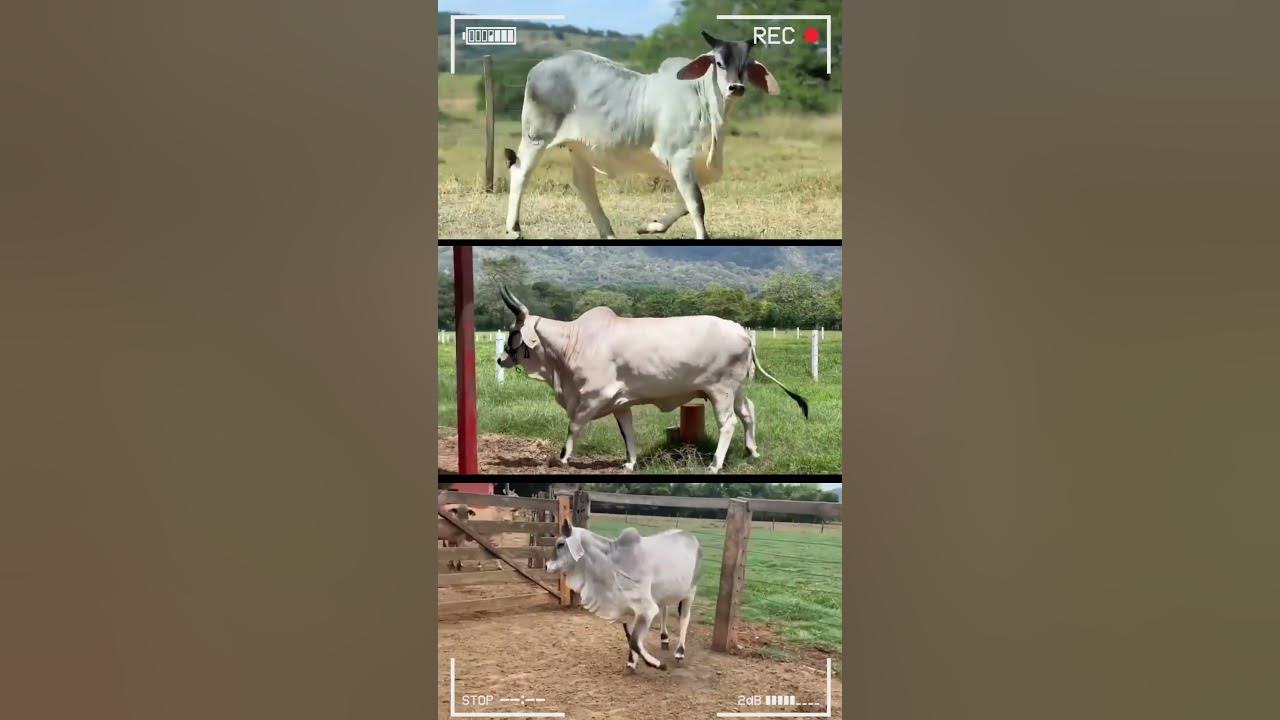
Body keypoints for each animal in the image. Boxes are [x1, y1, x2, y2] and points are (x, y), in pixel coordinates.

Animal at [495, 286, 808, 474]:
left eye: (513, 331)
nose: (500, 359)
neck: (572, 343)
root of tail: (741, 330)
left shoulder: (593, 397)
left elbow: (573, 427)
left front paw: (562, 459)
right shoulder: (620, 403)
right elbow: (628, 434)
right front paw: (630, 463)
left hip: (720, 390)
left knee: (728, 422)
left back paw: (716, 464)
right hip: (736, 389)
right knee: (747, 412)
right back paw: (751, 451)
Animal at [504, 31, 780, 240]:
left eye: (745, 67)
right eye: (719, 63)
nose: (736, 88)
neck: (706, 103)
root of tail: (540, 66)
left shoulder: (700, 167)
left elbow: (685, 202)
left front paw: (652, 225)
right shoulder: (679, 158)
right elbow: (695, 203)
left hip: (580, 148)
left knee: (584, 185)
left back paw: (608, 232)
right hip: (536, 136)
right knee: (520, 172)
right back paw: (514, 228)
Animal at [545, 517, 702, 672]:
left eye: (560, 544)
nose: (546, 566)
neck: (612, 564)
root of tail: (689, 535)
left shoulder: (646, 609)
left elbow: (634, 640)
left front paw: (656, 664)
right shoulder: (628, 610)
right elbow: (630, 637)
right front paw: (632, 662)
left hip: (691, 591)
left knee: (684, 619)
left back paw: (680, 652)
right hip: (665, 593)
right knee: (665, 610)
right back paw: (664, 638)